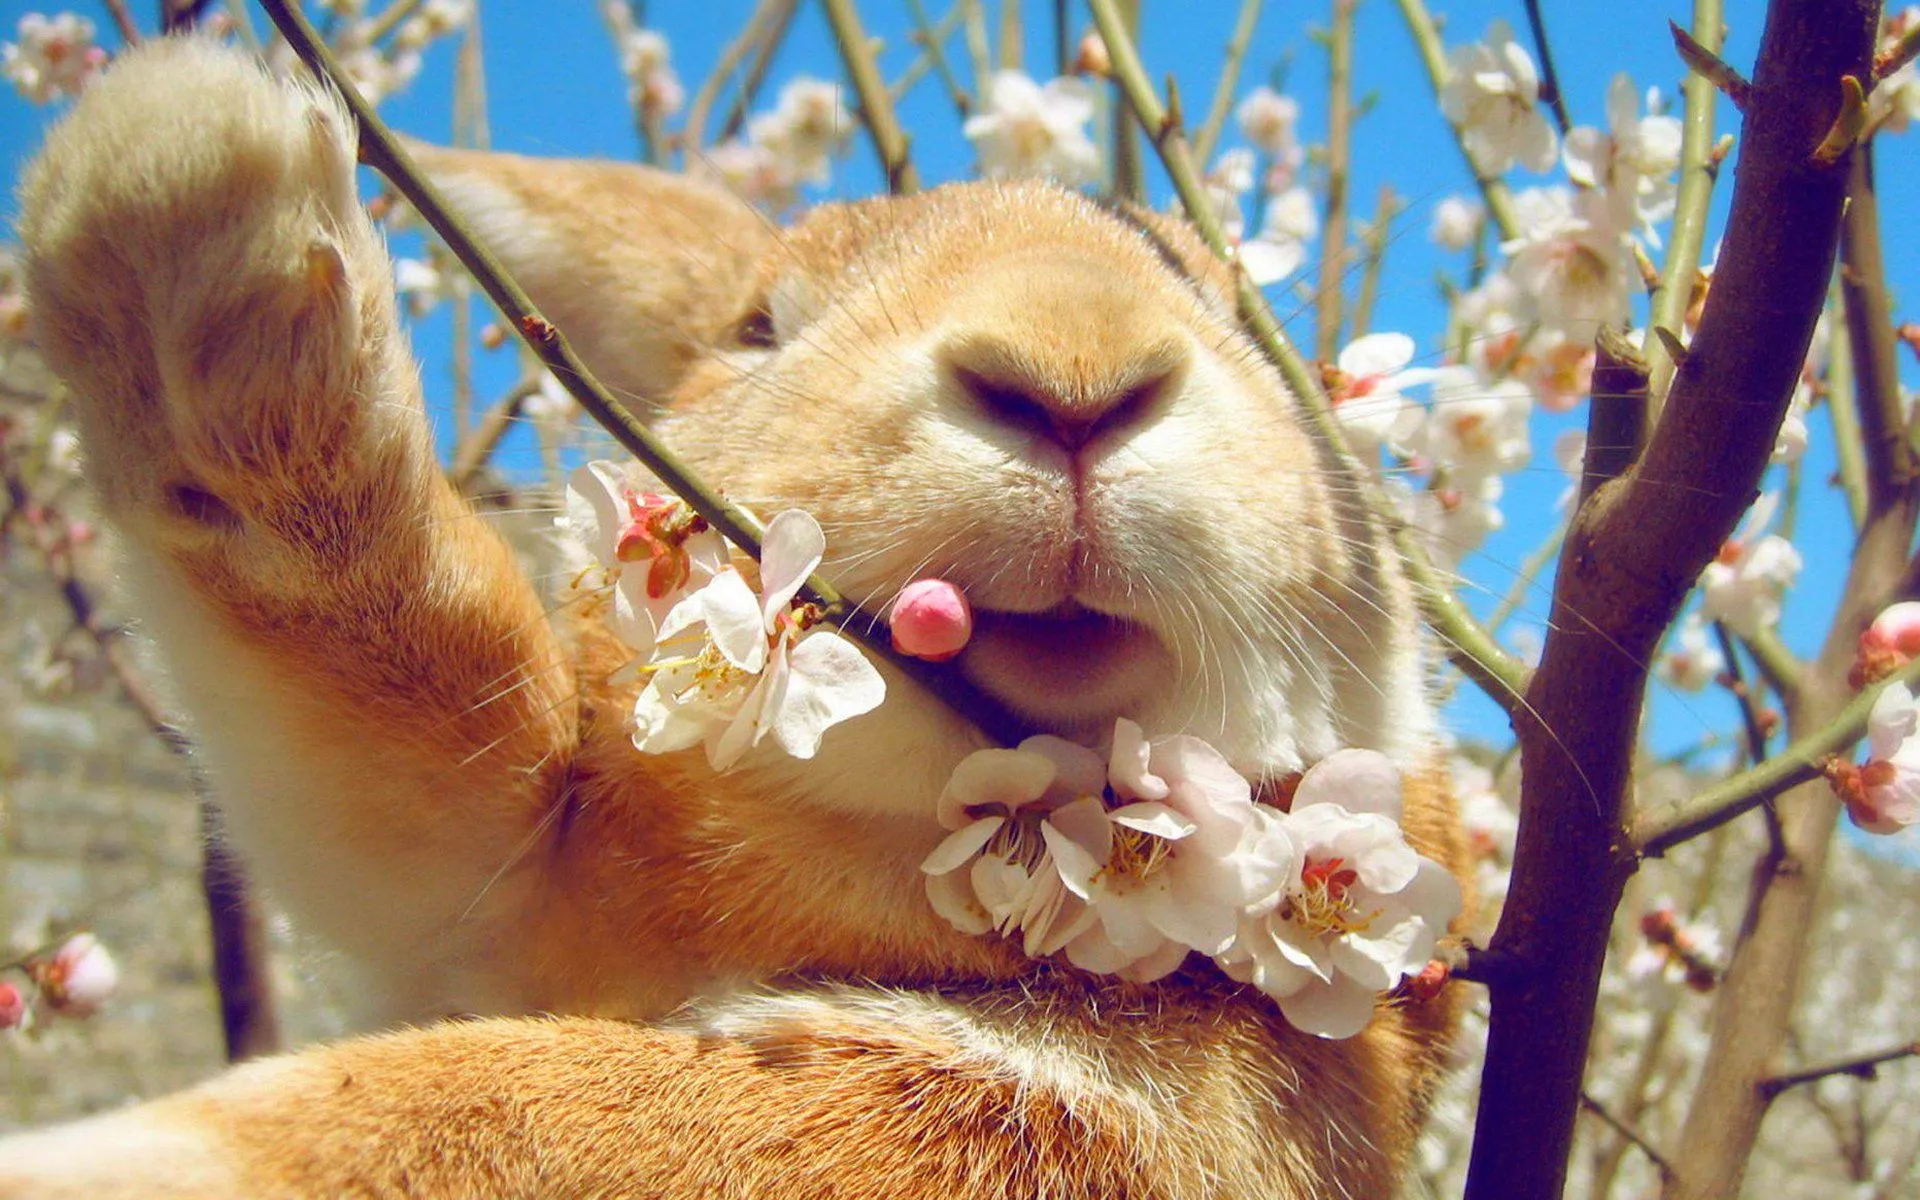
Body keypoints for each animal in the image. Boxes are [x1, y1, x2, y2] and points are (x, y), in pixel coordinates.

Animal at [0, 35, 1468, 1199]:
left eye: (1243, 322)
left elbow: (501, 1117)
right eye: (760, 327)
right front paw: (181, 186)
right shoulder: (491, 883)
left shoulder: (1087, 1114)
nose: (1074, 367)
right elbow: (419, 700)